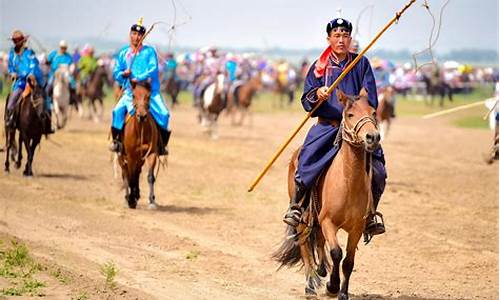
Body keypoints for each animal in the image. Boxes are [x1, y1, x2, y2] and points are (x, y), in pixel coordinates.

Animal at [117, 81, 158, 210]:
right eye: (134, 95)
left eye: (148, 96)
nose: (142, 116)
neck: (140, 131)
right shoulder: (130, 157)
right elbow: (130, 177)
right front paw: (131, 200)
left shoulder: (151, 154)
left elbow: (150, 177)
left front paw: (151, 200)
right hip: (121, 157)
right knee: (125, 173)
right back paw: (128, 197)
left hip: (140, 159)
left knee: (137, 172)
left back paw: (137, 194)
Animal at [276, 88, 380, 298]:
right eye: (350, 114)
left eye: (373, 112)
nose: (372, 137)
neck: (348, 182)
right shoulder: (328, 222)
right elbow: (337, 253)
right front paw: (332, 286)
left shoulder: (356, 228)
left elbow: (348, 261)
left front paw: (342, 293)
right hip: (303, 217)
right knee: (305, 246)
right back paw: (310, 285)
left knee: (318, 241)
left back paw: (322, 269)